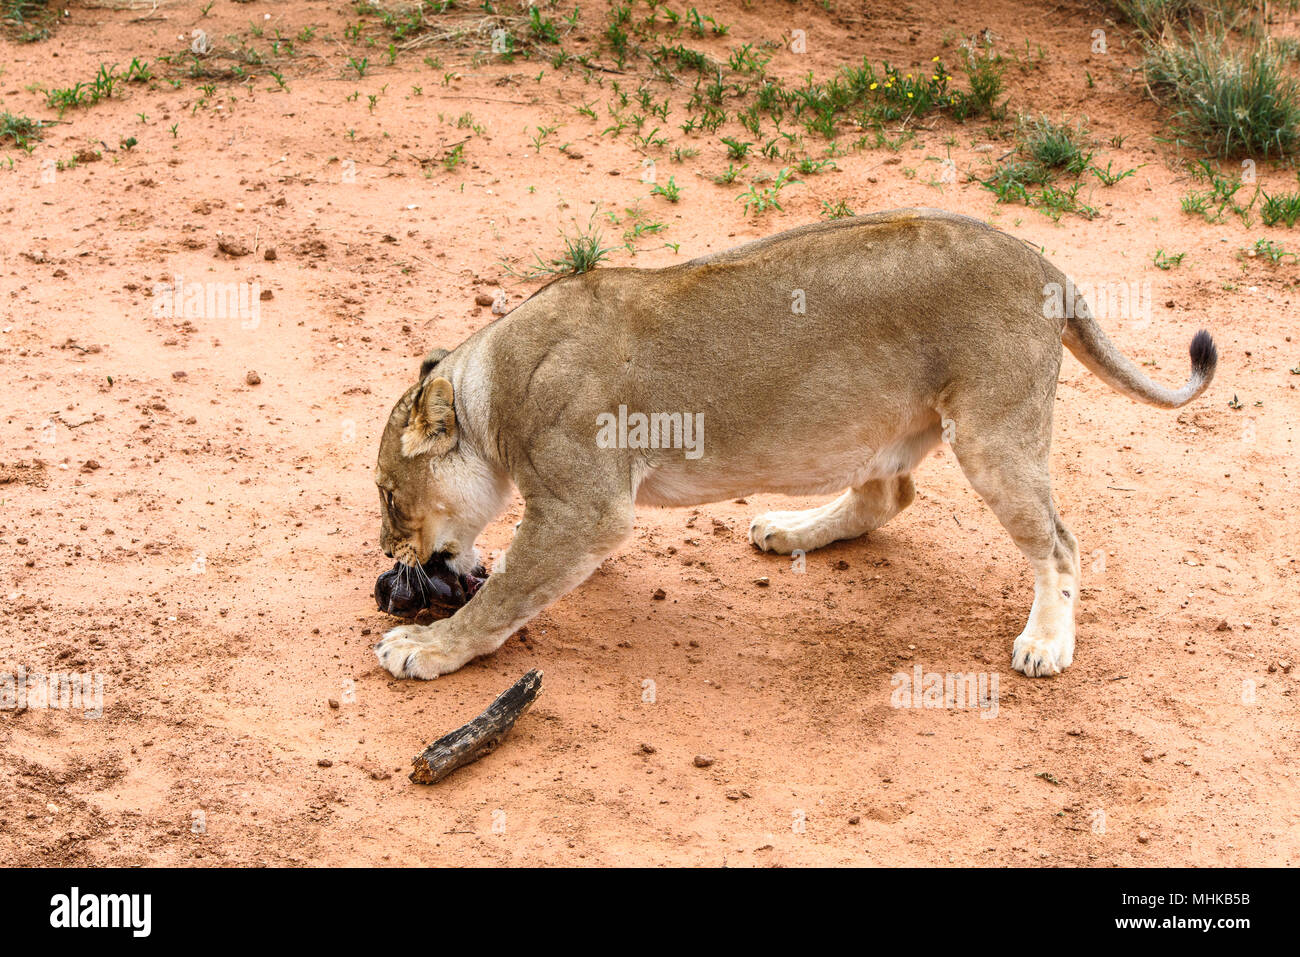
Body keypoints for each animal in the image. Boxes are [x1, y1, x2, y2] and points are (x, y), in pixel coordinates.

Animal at [373, 209, 1216, 680]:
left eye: (387, 495)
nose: (390, 554)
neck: (493, 389)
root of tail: (1045, 263)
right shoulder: (581, 514)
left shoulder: (584, 508)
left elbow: (508, 593)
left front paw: (427, 646)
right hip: (886, 420)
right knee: (890, 493)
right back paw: (788, 529)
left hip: (993, 433)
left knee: (1060, 541)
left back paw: (1045, 641)